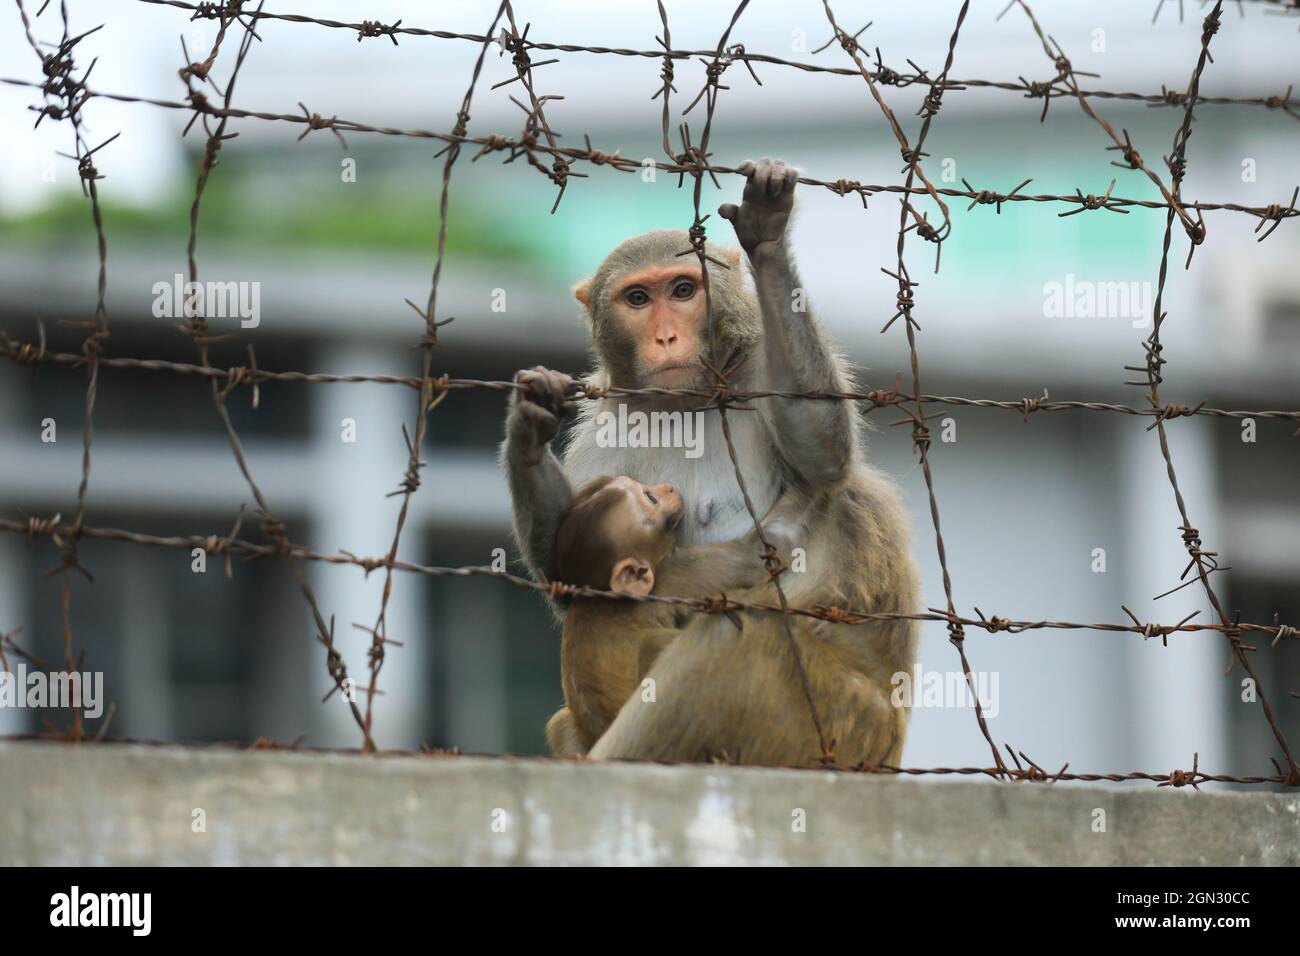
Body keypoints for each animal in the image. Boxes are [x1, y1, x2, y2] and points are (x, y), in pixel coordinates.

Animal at [502, 157, 921, 768]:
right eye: (638, 299)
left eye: (682, 290)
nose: (666, 337)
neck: (691, 404)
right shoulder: (608, 422)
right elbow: (565, 570)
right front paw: (527, 428)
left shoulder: (757, 374)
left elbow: (822, 455)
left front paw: (766, 236)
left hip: (841, 729)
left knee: (732, 637)